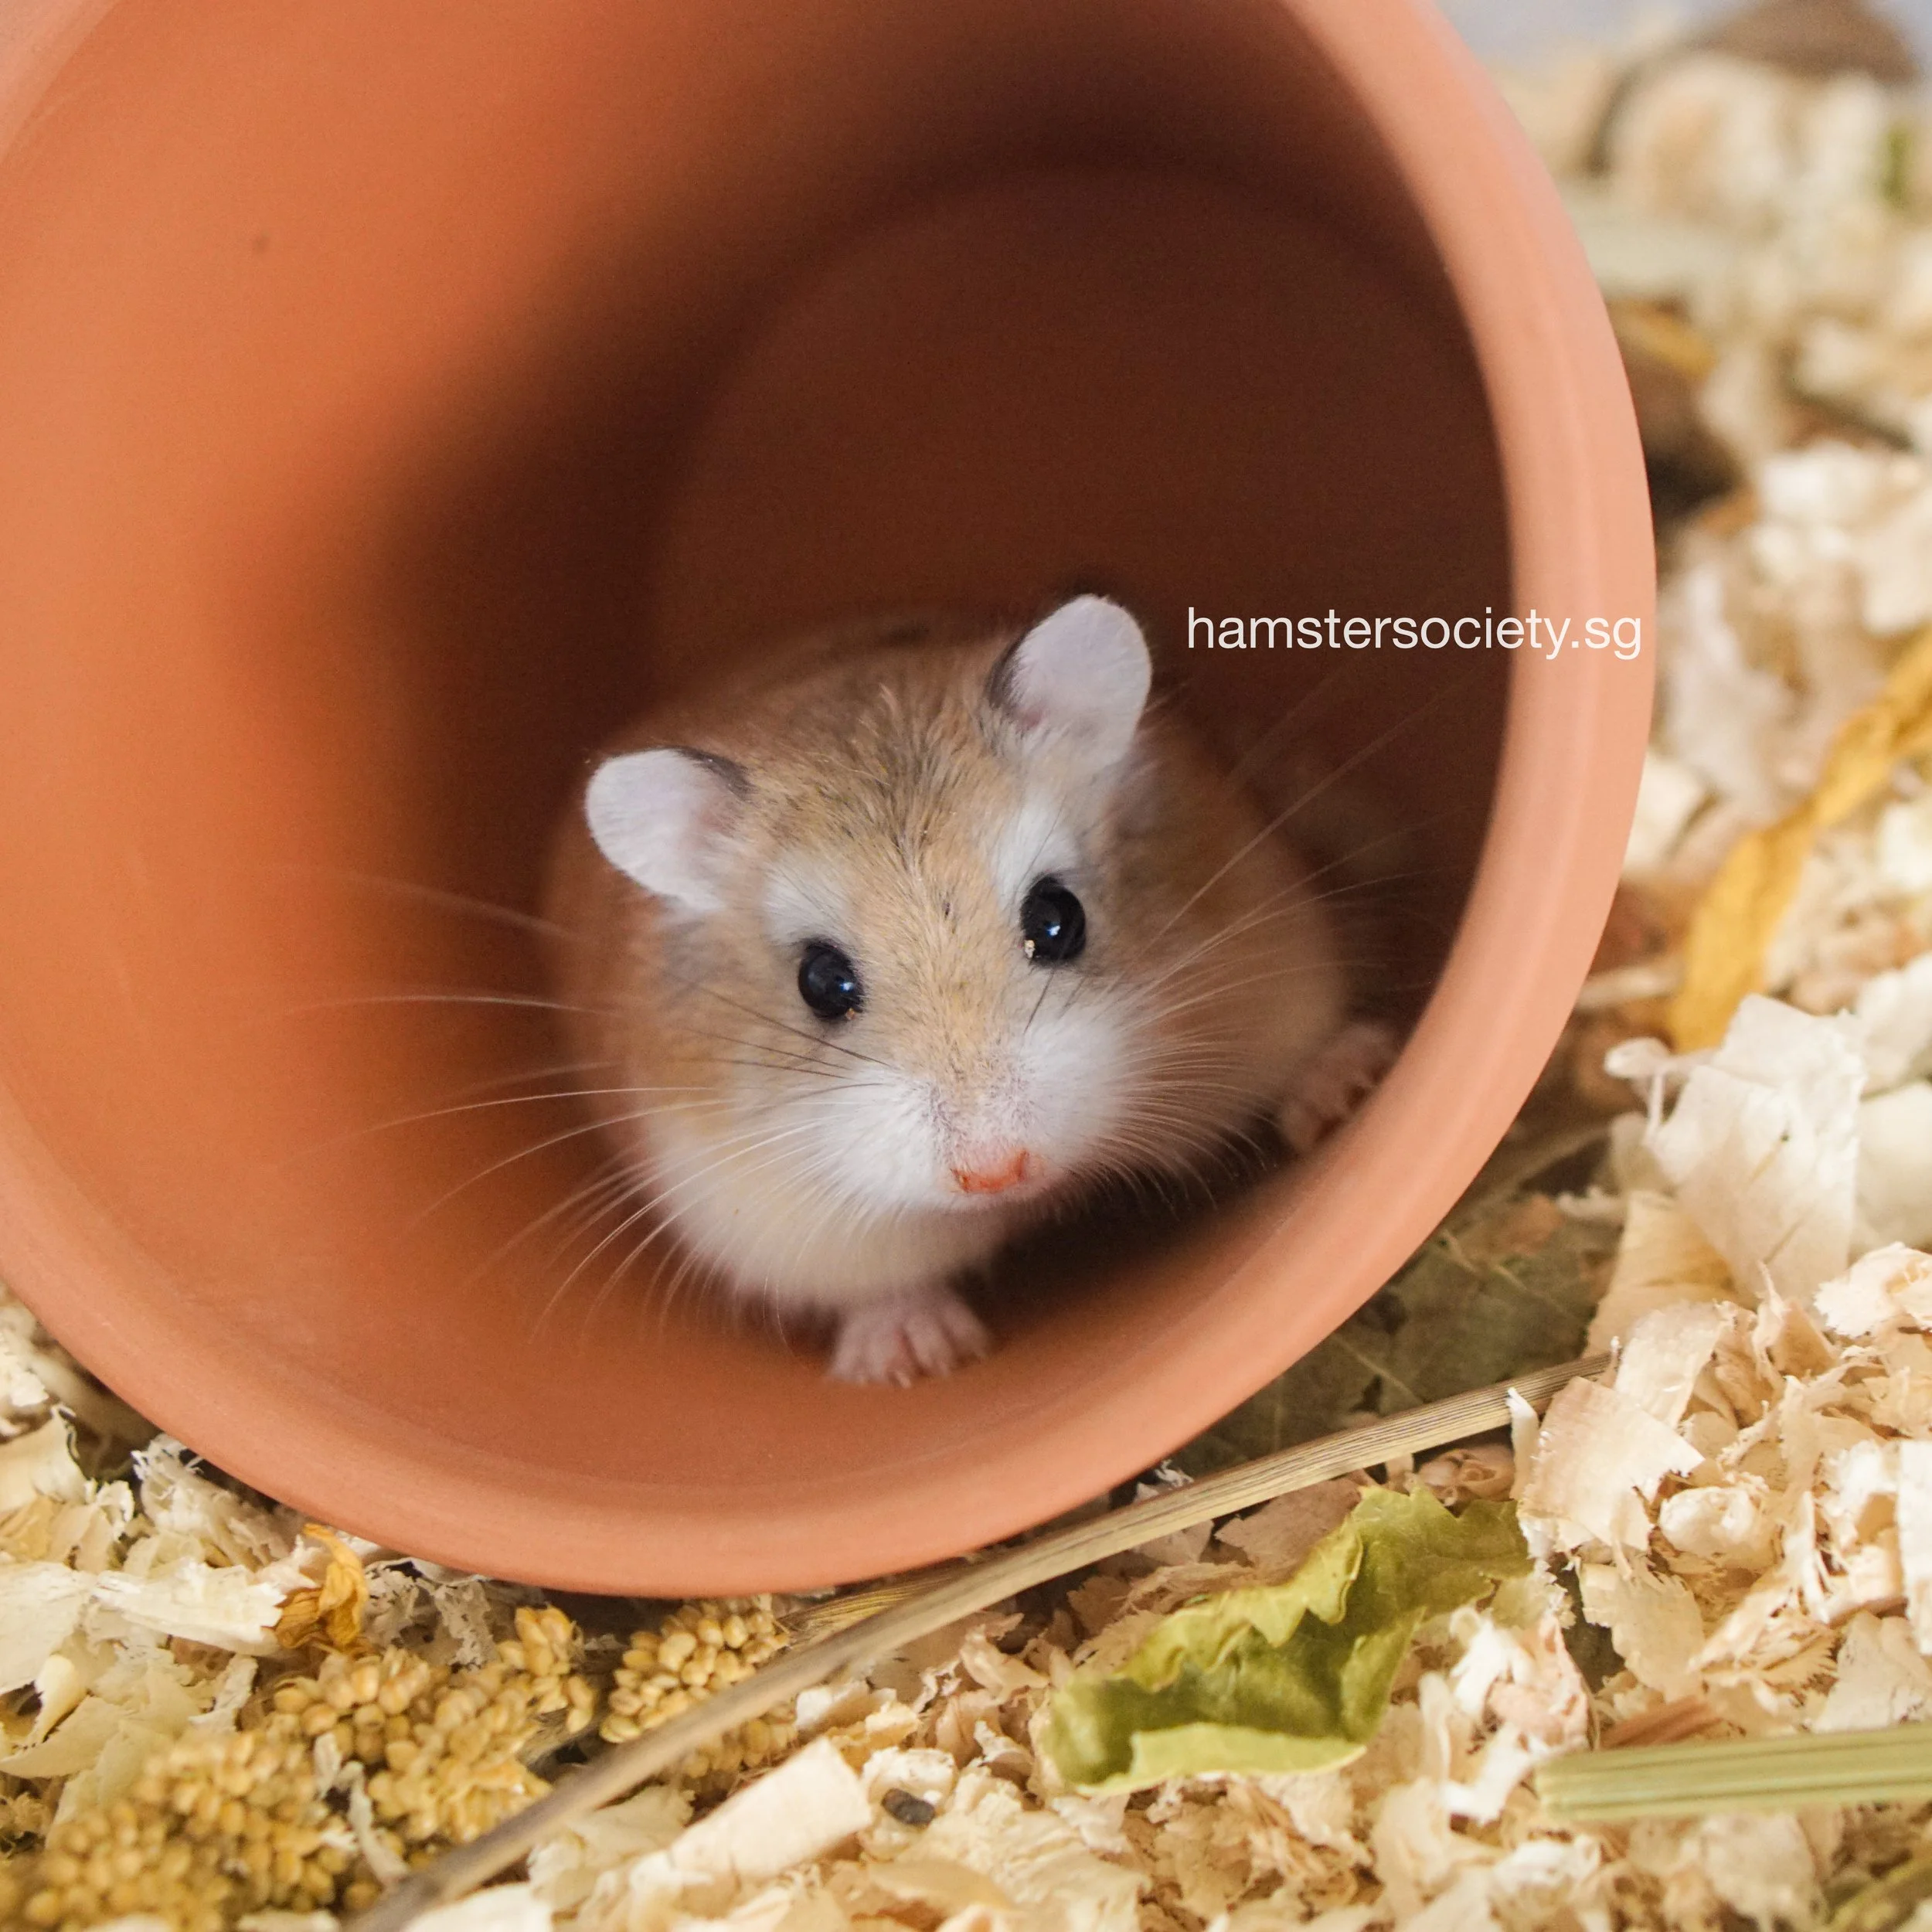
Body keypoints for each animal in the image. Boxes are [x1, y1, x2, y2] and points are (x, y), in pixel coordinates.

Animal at [542, 596, 1395, 1384]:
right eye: (821, 983)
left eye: (1057, 918)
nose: (997, 1173)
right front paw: (916, 1359)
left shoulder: (1266, 958)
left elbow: (1303, 1047)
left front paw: (1350, 1086)